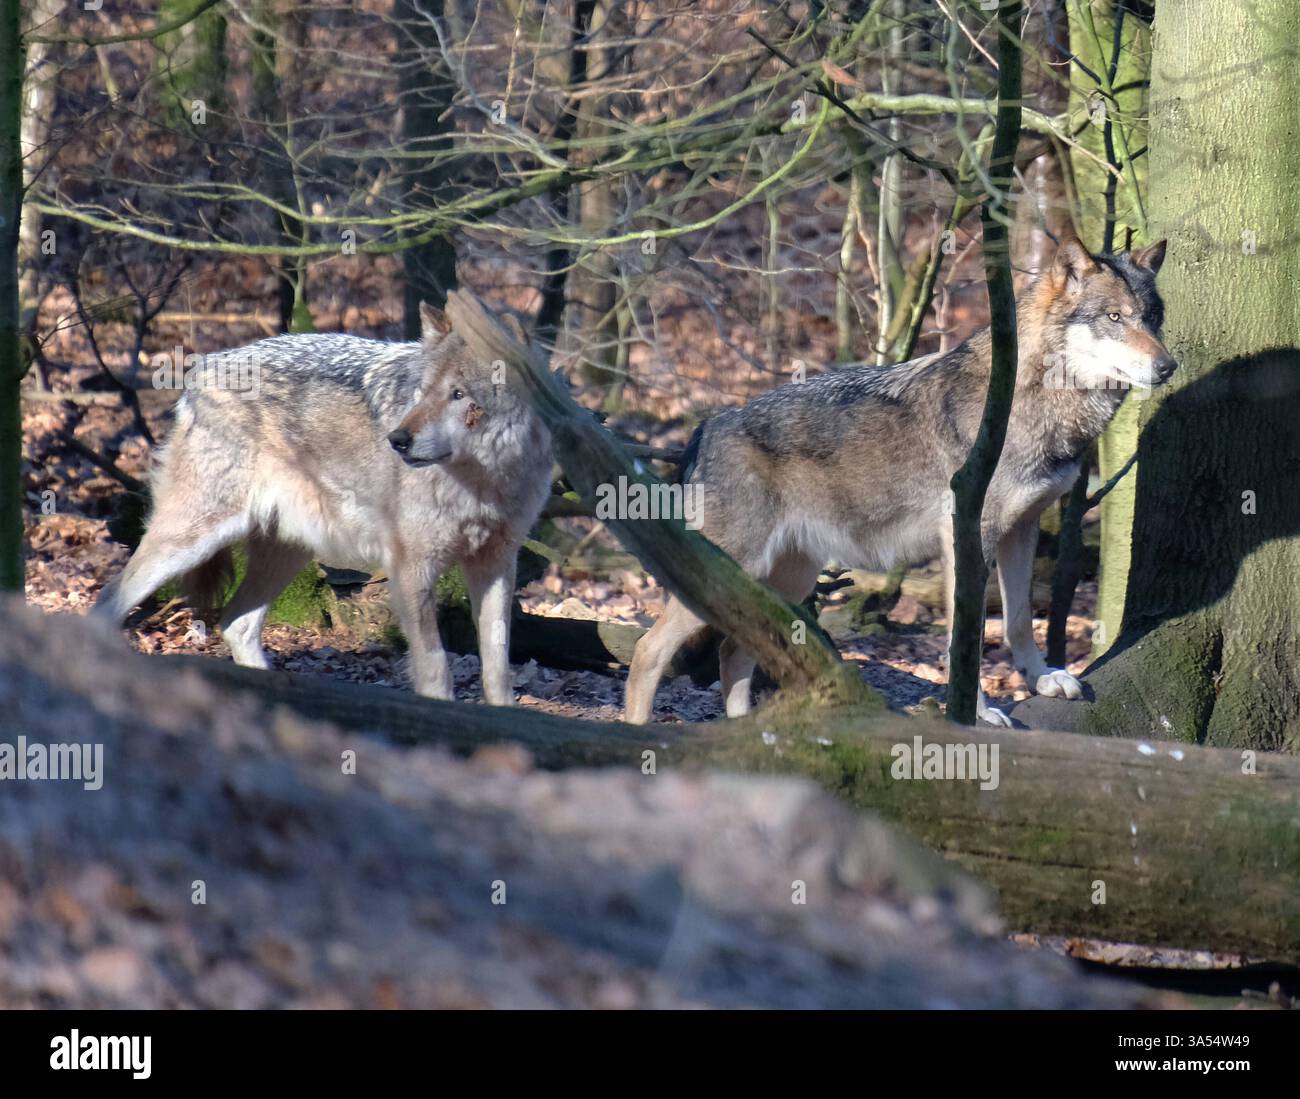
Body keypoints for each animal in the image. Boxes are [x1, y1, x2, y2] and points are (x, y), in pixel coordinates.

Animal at [93, 304, 552, 706]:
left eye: (458, 394)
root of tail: (202, 368)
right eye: (420, 394)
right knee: (109, 601)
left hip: (287, 553)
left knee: (236, 623)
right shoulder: (411, 565)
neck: (484, 481)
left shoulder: (497, 561)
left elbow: (498, 664)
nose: (398, 440)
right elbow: (435, 667)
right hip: (190, 540)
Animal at [625, 234, 1173, 725]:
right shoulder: (968, 536)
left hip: (784, 579)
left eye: (1152, 317)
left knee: (733, 653)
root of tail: (706, 426)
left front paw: (1042, 680)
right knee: (648, 651)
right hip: (735, 569)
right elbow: (966, 638)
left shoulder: (1023, 529)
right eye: (1115, 318)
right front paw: (975, 712)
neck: (1038, 397)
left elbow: (1018, 621)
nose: (1168, 365)